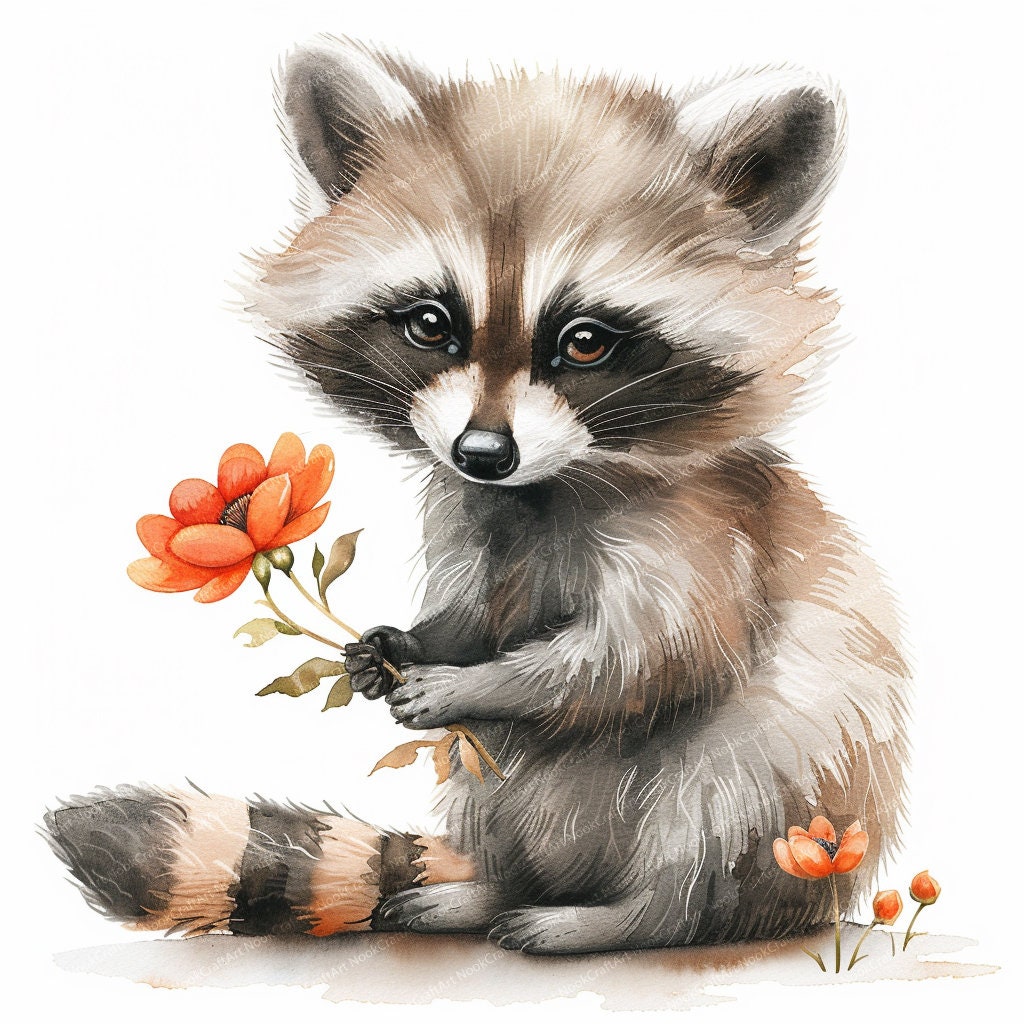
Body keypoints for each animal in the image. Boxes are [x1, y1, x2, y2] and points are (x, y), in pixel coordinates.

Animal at [45, 37, 909, 955]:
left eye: (586, 342)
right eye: (430, 324)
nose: (483, 452)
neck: (538, 490)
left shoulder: (703, 531)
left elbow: (646, 657)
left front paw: (484, 684)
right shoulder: (464, 508)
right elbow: (476, 612)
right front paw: (408, 641)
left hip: (804, 788)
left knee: (715, 809)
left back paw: (628, 915)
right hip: (520, 794)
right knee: (491, 788)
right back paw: (491, 888)